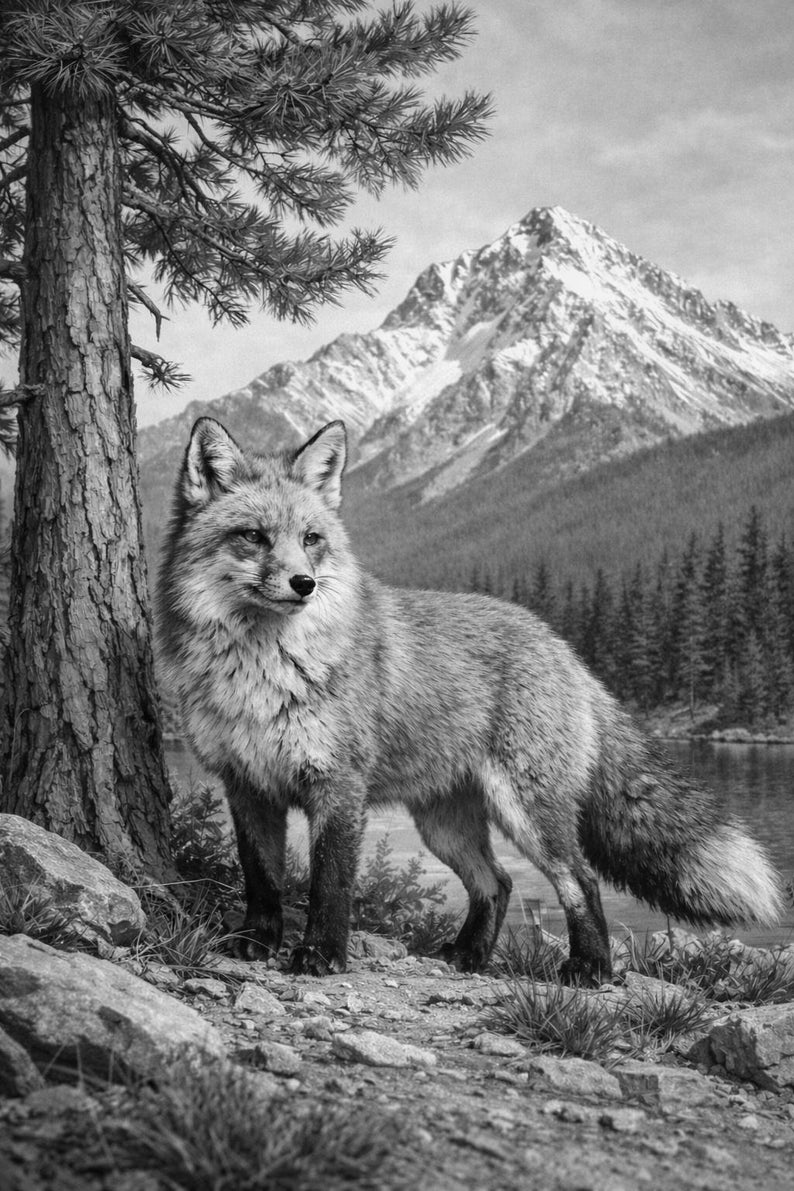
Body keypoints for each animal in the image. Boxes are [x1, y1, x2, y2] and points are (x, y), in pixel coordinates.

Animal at [157, 416, 783, 983]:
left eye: (311, 540)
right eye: (253, 537)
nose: (304, 584)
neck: (259, 675)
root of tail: (563, 646)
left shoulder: (338, 785)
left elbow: (329, 884)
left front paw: (321, 955)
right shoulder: (247, 784)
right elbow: (260, 877)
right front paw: (256, 940)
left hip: (528, 813)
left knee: (579, 880)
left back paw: (591, 967)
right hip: (445, 826)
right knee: (497, 882)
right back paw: (469, 955)